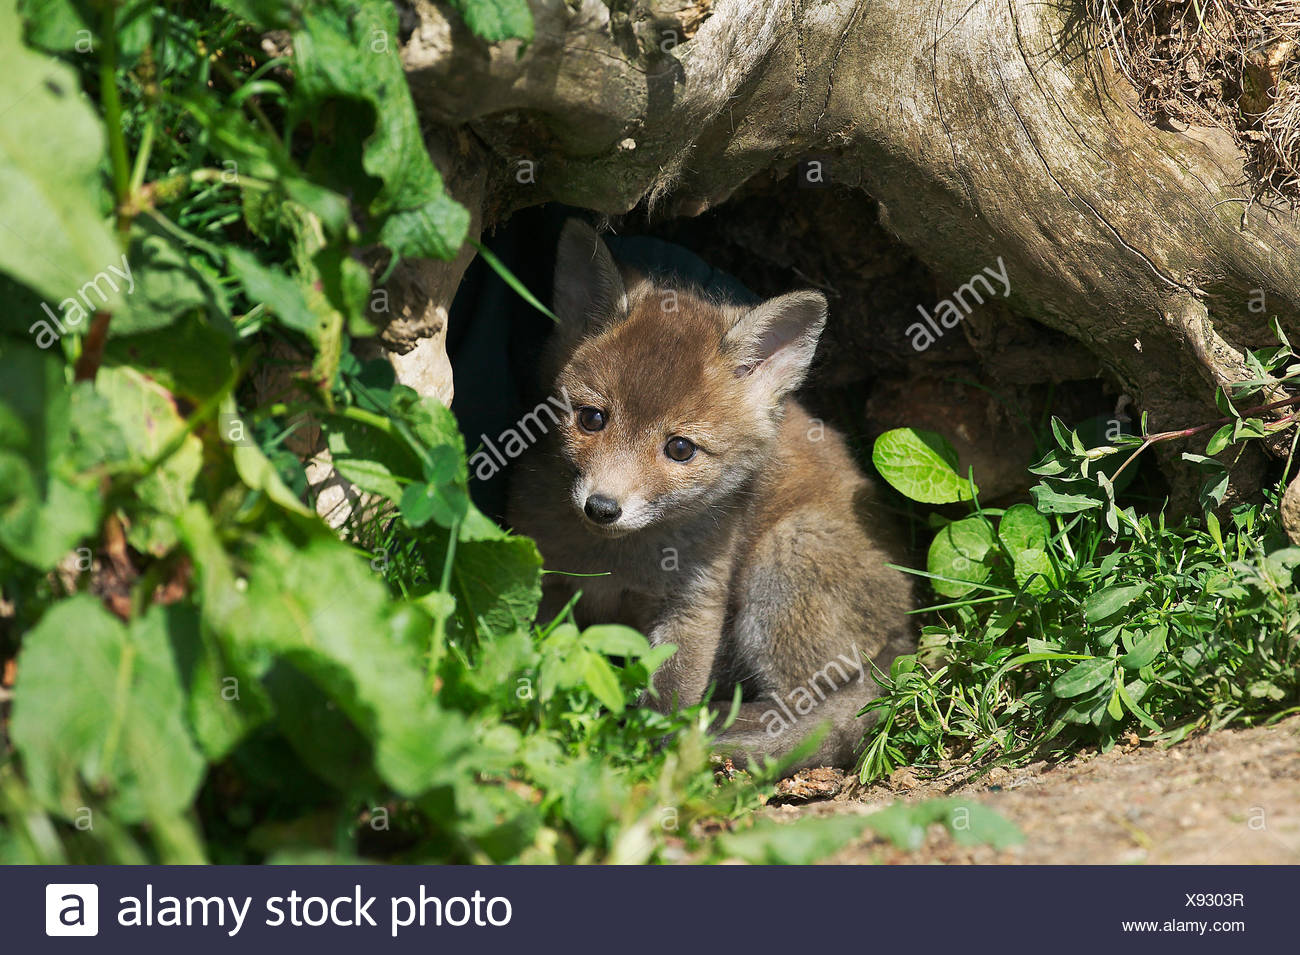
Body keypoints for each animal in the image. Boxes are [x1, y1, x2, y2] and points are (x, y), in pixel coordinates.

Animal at [507, 220, 915, 770]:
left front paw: (644, 754)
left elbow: (668, 698)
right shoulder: (544, 577)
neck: (617, 560)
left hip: (785, 558)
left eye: (680, 448)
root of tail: (909, 630)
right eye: (591, 419)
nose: (603, 508)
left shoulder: (695, 603)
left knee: (811, 707)